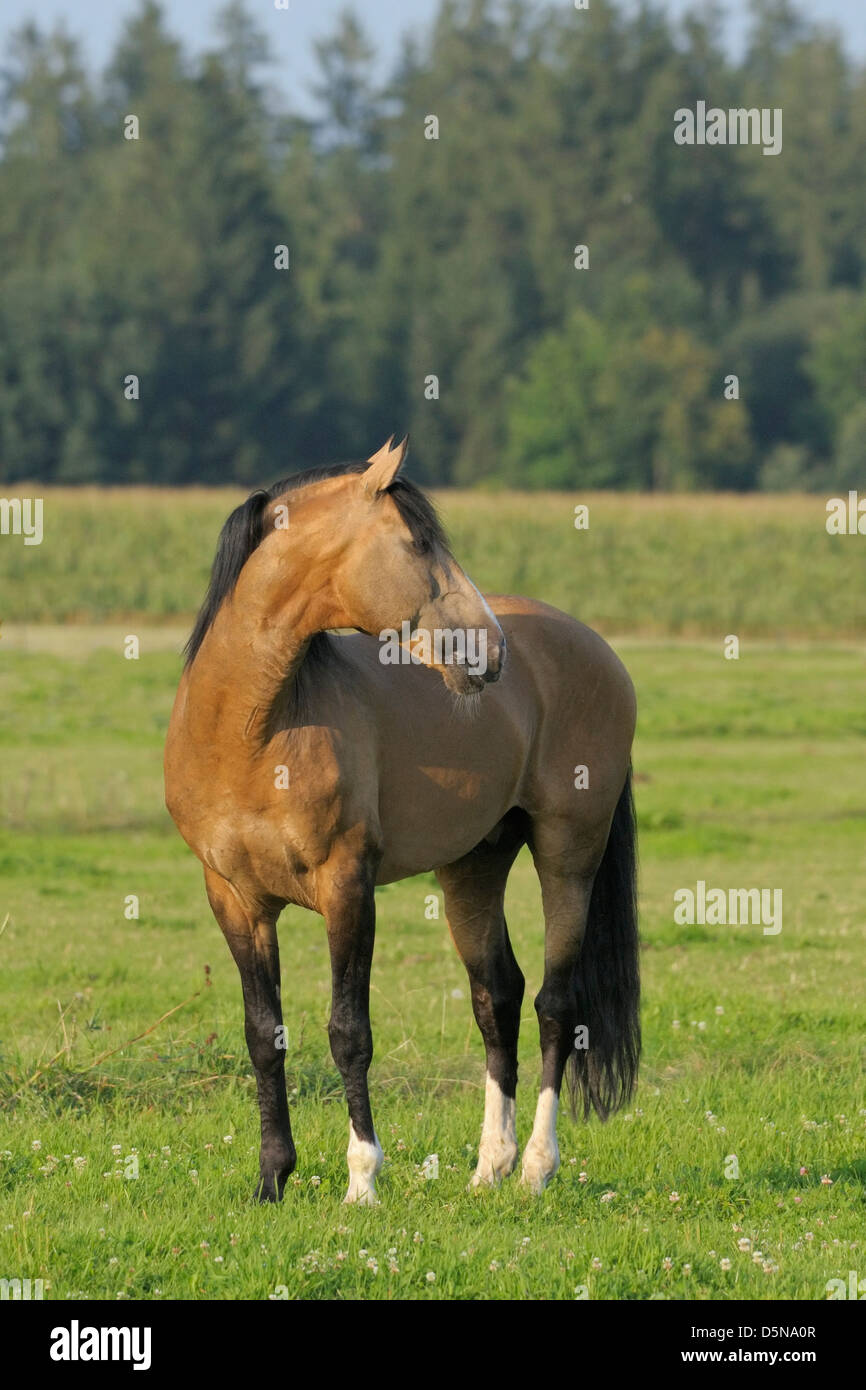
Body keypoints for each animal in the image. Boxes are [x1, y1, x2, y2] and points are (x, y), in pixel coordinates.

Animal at [164, 436, 639, 1205]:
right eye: (419, 543)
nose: (493, 650)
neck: (253, 730)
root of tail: (594, 647)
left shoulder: (347, 886)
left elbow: (348, 1031)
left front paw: (362, 1179)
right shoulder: (234, 898)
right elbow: (264, 1034)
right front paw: (272, 1178)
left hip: (569, 851)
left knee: (556, 1003)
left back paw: (536, 1168)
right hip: (474, 864)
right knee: (497, 995)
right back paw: (489, 1166)